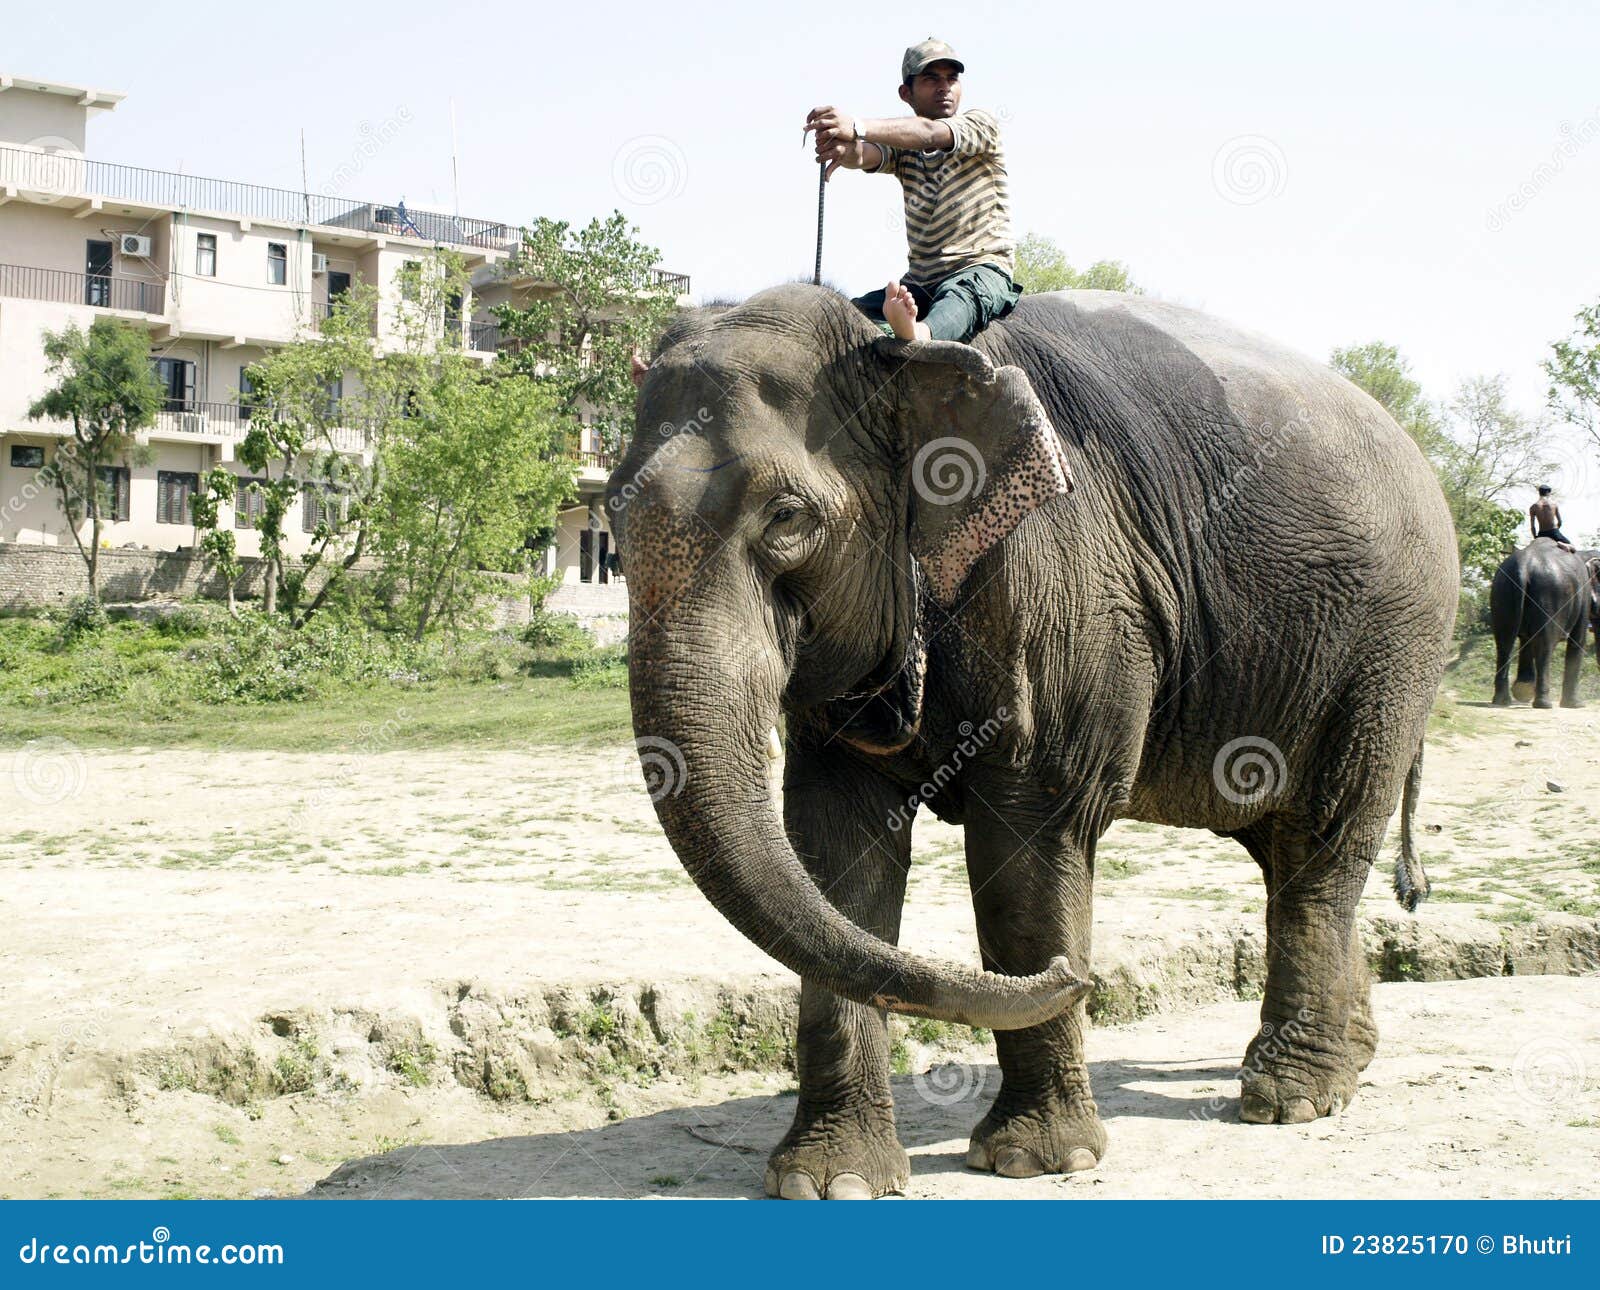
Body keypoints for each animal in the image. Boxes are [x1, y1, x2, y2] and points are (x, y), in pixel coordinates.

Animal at [608, 284, 1458, 1199]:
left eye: (788, 517)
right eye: (611, 515)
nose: (1076, 977)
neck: (897, 362)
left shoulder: (1062, 588)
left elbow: (1030, 833)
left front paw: (1037, 1161)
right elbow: (834, 850)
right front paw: (830, 1182)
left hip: (1391, 648)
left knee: (1322, 842)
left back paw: (1290, 1099)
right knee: (1285, 847)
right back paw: (1349, 1062)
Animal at [1491, 538, 1600, 708]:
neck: (1585, 553)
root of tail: (1523, 564)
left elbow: (1526, 640)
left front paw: (1523, 692)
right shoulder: (1584, 594)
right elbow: (1577, 641)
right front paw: (1577, 705)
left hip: (1502, 590)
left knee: (1504, 642)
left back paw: (1502, 701)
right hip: (1549, 597)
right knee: (1544, 647)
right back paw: (1544, 704)